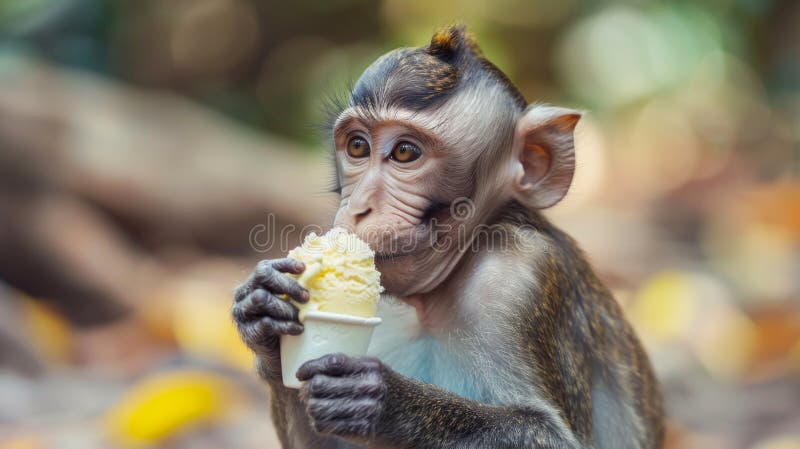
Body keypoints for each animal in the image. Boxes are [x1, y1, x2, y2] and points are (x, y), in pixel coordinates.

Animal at [233, 25, 664, 449]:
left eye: (405, 153)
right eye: (357, 145)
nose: (357, 208)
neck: (434, 296)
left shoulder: (519, 277)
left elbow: (553, 437)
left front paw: (382, 400)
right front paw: (263, 311)